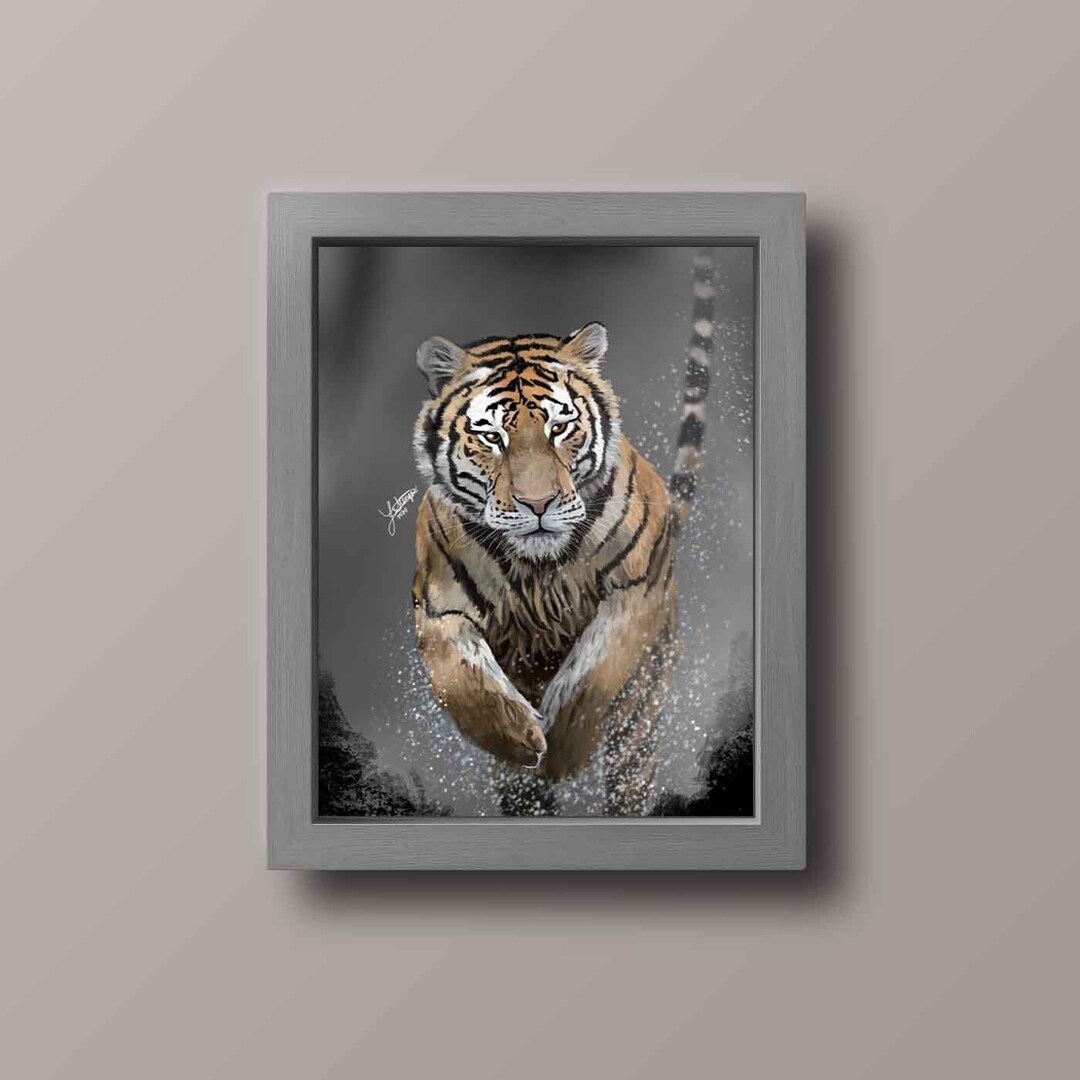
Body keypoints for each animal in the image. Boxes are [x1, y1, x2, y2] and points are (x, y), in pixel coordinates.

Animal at [411, 251, 716, 815]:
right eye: (492, 436)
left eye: (559, 427)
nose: (538, 504)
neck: (538, 568)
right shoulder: (438, 609)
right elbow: (462, 681)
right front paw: (522, 739)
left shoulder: (634, 589)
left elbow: (595, 671)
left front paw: (563, 751)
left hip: (640, 720)